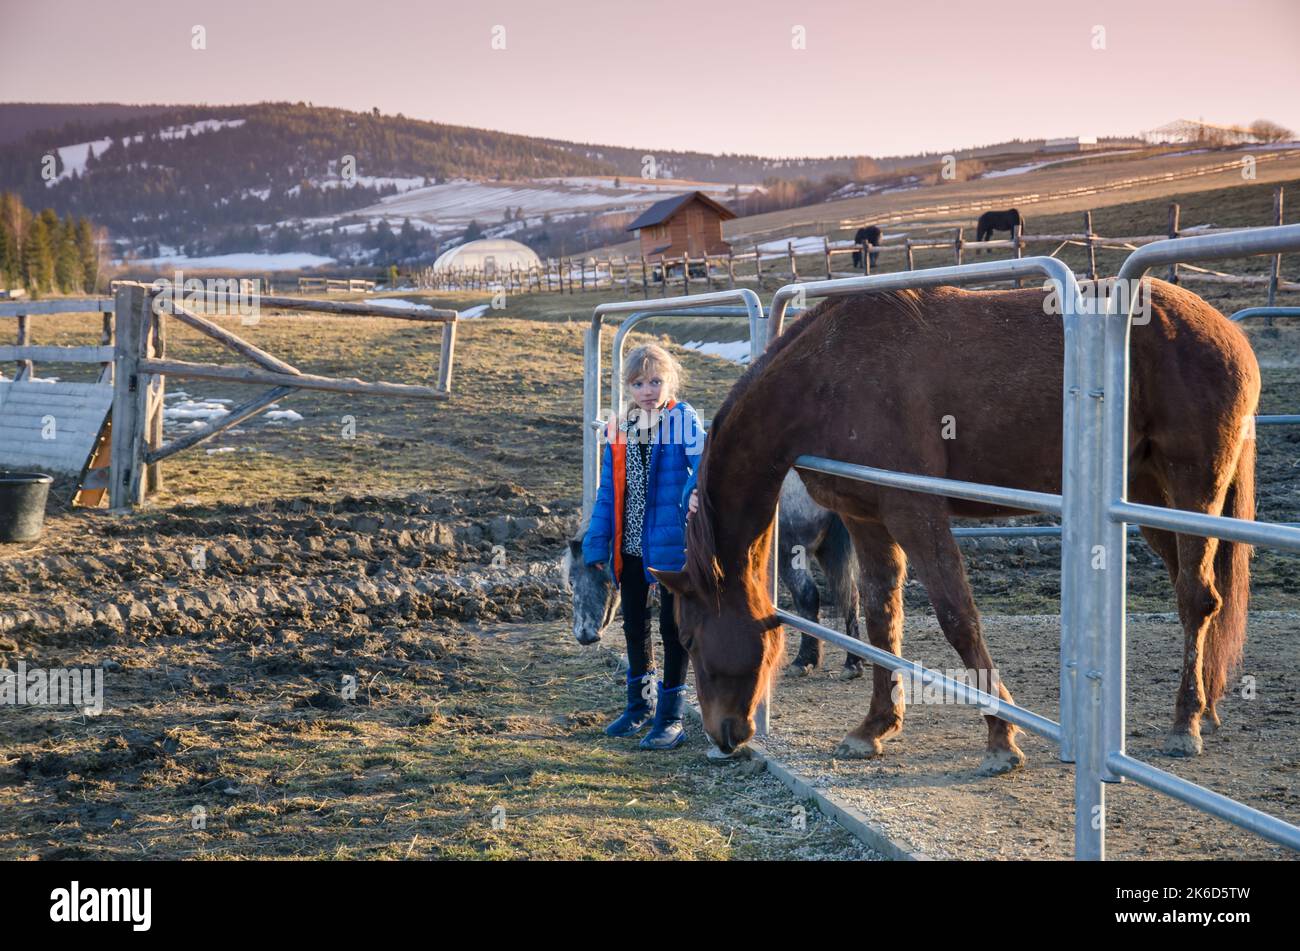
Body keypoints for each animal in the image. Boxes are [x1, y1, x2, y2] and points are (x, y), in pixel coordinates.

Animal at [564, 470, 865, 677]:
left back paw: (805, 660)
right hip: (828, 550)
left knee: (808, 598)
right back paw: (852, 662)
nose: (583, 635)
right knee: (850, 597)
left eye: (583, 575)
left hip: (790, 552)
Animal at [650, 278, 1259, 777]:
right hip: (1149, 495)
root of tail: (1228, 331)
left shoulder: (915, 512)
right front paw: (874, 727)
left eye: (688, 637)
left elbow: (957, 618)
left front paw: (1000, 737)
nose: (723, 735)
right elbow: (881, 619)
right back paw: (1207, 705)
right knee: (1195, 593)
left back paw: (1186, 724)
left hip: (1193, 487)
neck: (829, 374)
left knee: (1197, 597)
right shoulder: (867, 518)